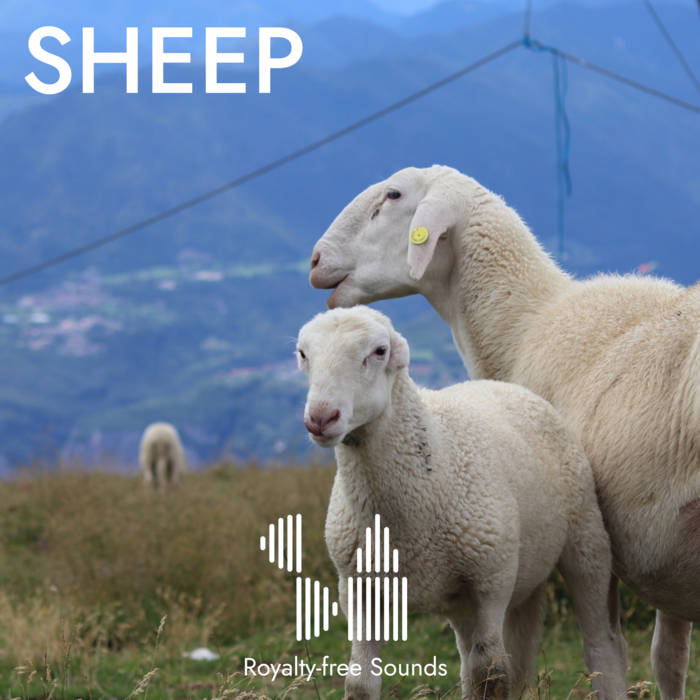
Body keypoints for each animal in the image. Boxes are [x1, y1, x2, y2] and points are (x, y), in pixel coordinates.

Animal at [296, 306, 628, 700]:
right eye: (303, 354)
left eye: (379, 351)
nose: (321, 417)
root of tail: (504, 385)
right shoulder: (359, 589)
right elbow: (360, 683)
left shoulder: (491, 581)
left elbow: (490, 674)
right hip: (485, 591)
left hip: (585, 538)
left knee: (599, 645)